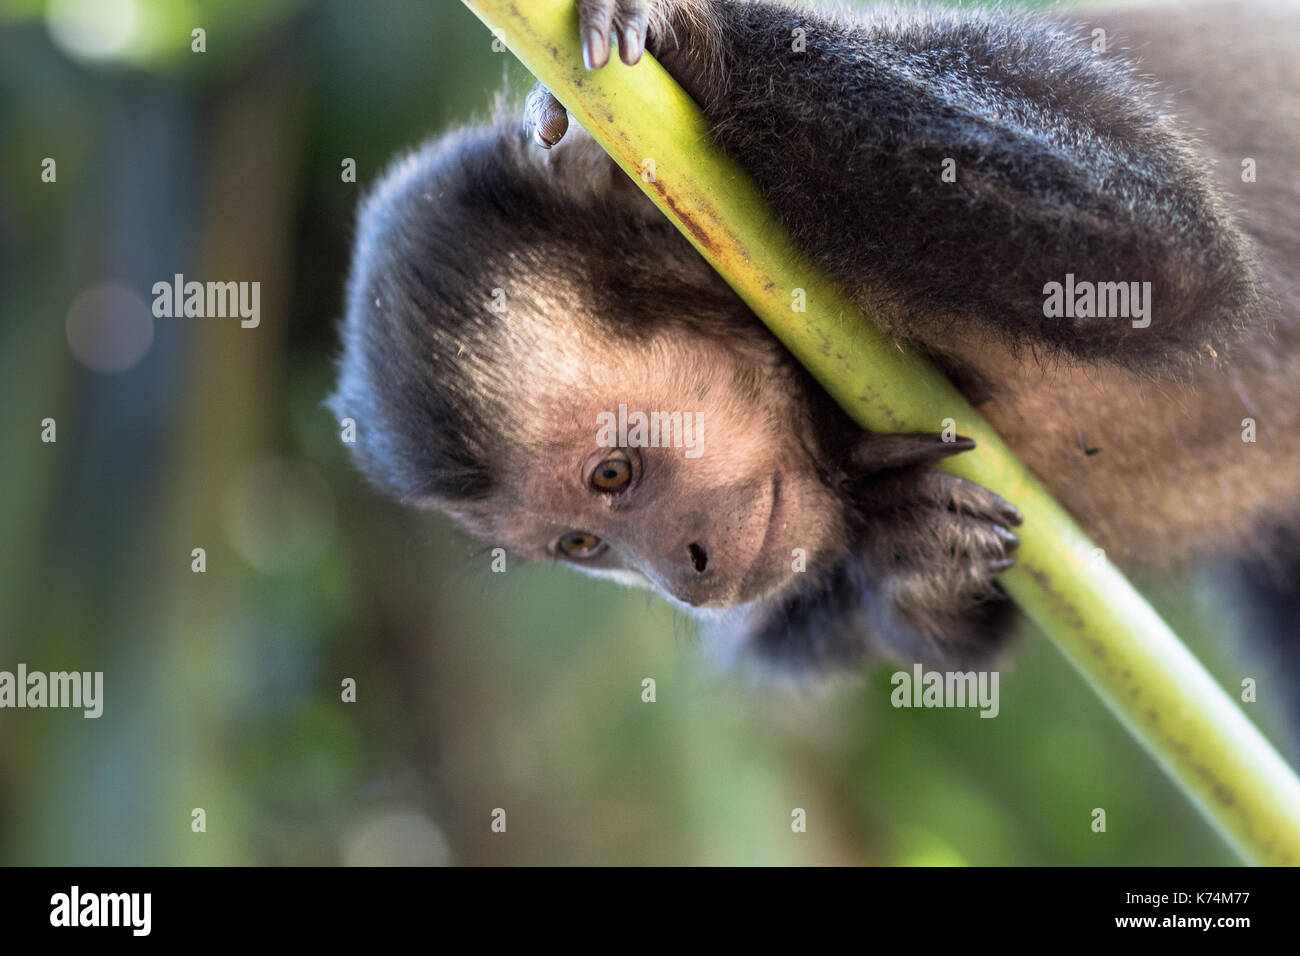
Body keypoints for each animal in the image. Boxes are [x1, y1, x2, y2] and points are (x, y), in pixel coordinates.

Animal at [329, 0, 1300, 678]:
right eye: (580, 547)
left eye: (612, 475)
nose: (684, 578)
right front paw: (905, 560)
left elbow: (1160, 255)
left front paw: (702, 47)